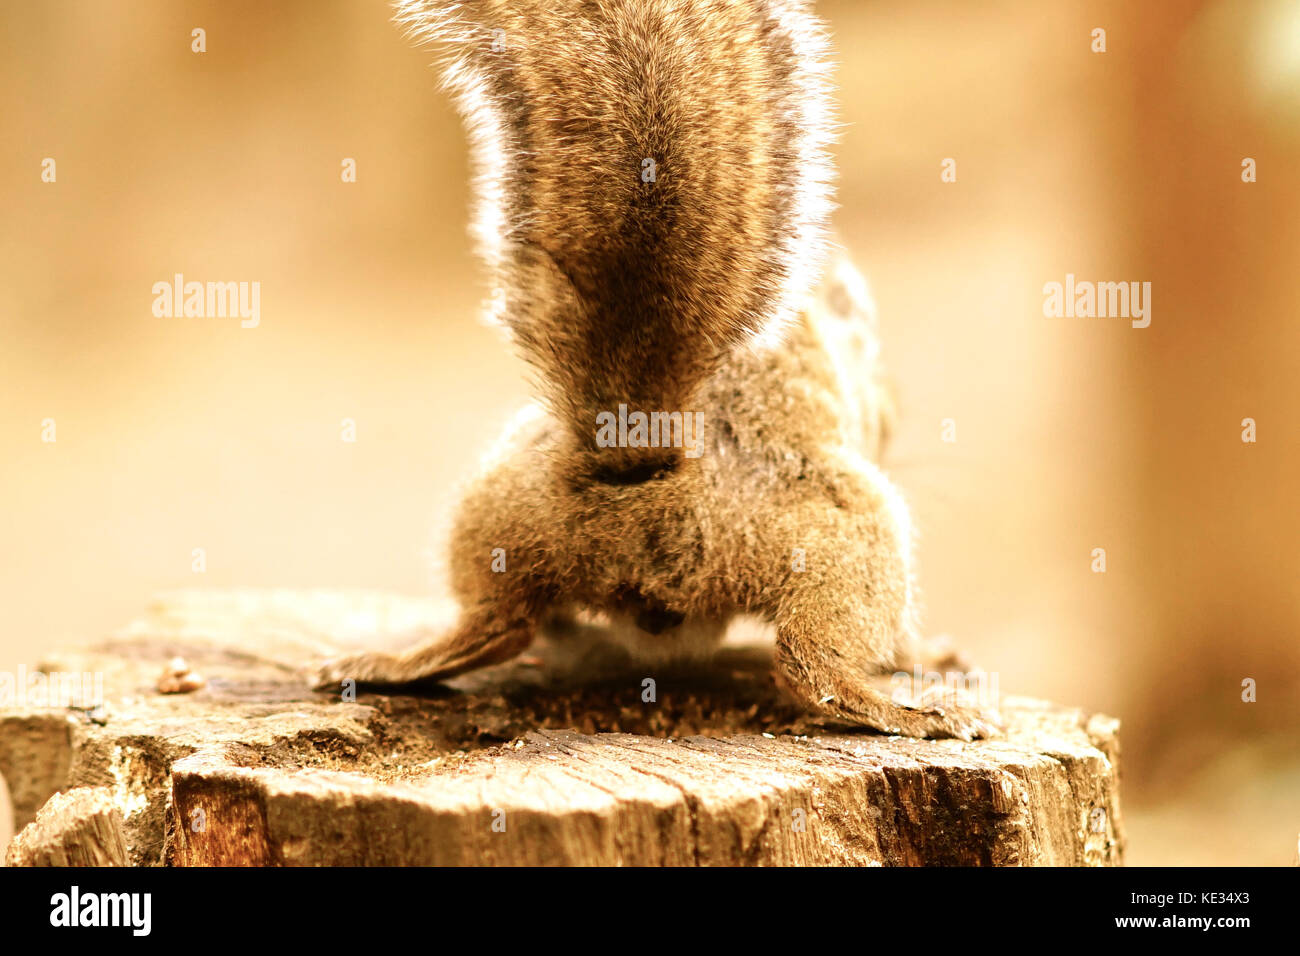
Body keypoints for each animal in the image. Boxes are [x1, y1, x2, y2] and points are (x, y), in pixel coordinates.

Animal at [311, 0, 1001, 740]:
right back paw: (911, 708)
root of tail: (646, 478)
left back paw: (390, 663)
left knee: (499, 619)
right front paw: (929, 653)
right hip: (854, 530)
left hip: (494, 507)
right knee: (810, 664)